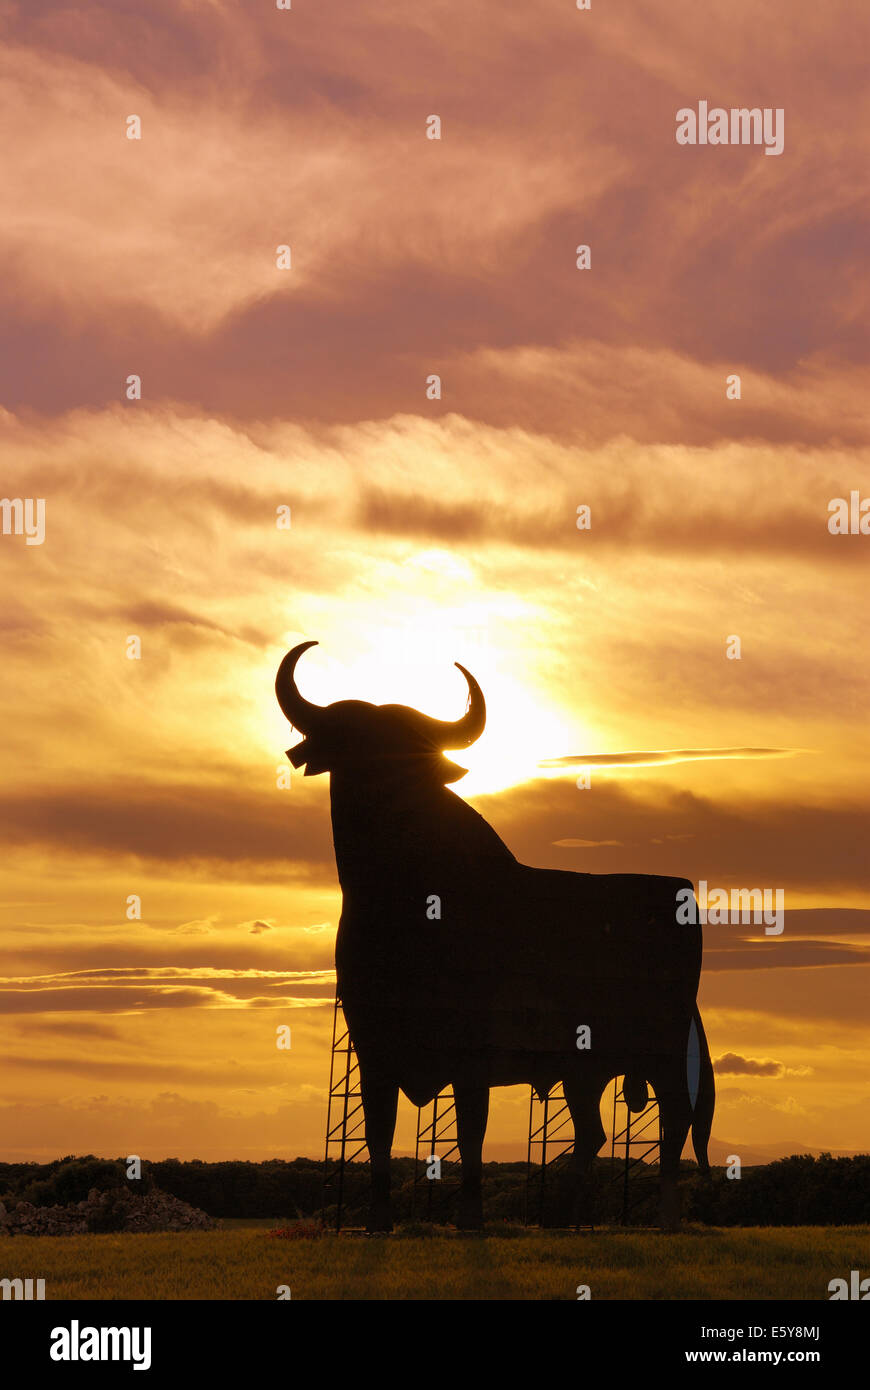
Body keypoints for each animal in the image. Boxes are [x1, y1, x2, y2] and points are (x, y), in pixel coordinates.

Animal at [275, 641, 715, 1232]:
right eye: (356, 745)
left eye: (409, 752)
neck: (404, 898)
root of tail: (681, 892)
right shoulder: (373, 1045)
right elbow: (378, 1132)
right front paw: (379, 1221)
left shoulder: (472, 1050)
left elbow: (470, 1131)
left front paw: (470, 1218)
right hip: (584, 1069)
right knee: (593, 1132)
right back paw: (559, 1219)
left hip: (661, 1050)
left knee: (674, 1122)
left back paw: (663, 1218)